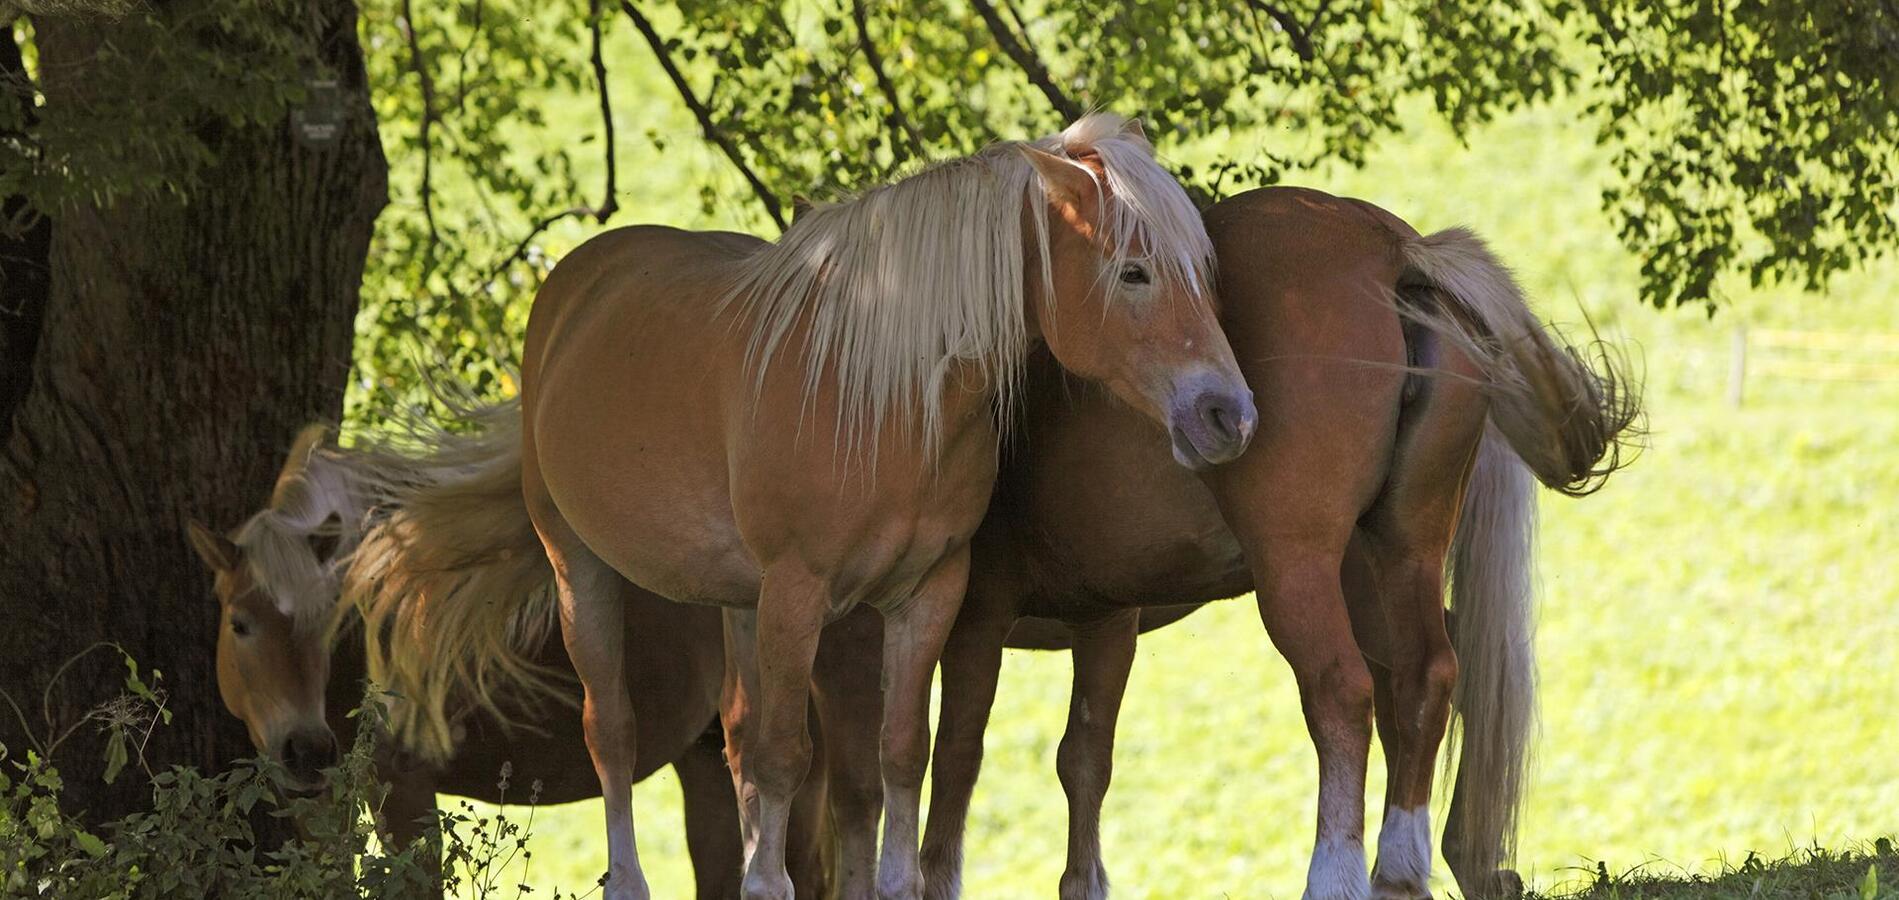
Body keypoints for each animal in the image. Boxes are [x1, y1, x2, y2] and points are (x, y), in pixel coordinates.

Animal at [186, 414, 826, 898]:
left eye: (328, 621)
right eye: (240, 624)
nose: (307, 750)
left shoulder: (405, 791)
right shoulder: (313, 801)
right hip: (705, 759)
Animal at [517, 112, 1255, 900]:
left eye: (1203, 270)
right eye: (1134, 272)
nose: (1228, 415)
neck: (882, 396)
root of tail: (575, 278)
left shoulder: (928, 592)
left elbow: (902, 752)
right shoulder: (799, 595)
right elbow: (787, 756)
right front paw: (768, 883)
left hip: (738, 600)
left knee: (737, 738)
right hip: (580, 567)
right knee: (614, 732)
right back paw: (627, 874)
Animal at [845, 186, 1636, 900]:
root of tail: (1392, 247)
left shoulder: (968, 614)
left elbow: (939, 757)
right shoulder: (1103, 613)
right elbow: (1081, 759)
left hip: (1299, 567)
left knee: (1343, 691)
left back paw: (1339, 878)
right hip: (1402, 548)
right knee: (1429, 674)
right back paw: (1405, 871)